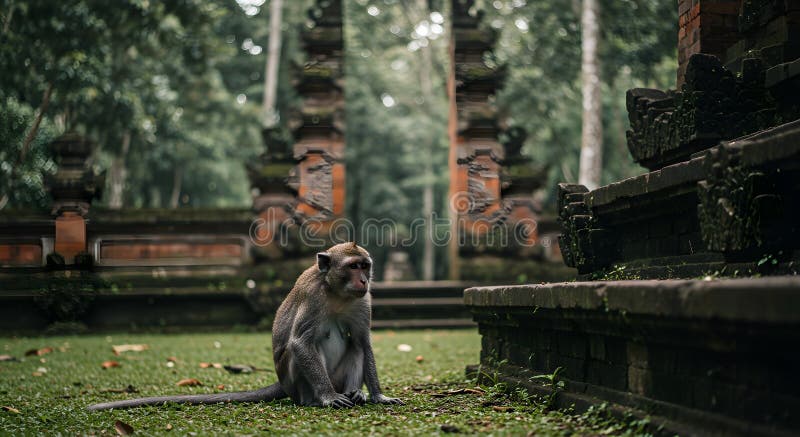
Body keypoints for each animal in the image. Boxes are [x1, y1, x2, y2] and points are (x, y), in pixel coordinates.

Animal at [87, 242, 402, 411]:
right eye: (352, 266)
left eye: (365, 265)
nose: (364, 280)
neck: (337, 293)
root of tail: (283, 385)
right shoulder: (312, 297)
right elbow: (300, 343)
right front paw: (327, 397)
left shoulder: (363, 302)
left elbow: (363, 342)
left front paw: (378, 395)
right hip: (296, 381)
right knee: (304, 349)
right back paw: (316, 399)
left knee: (354, 344)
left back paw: (355, 393)